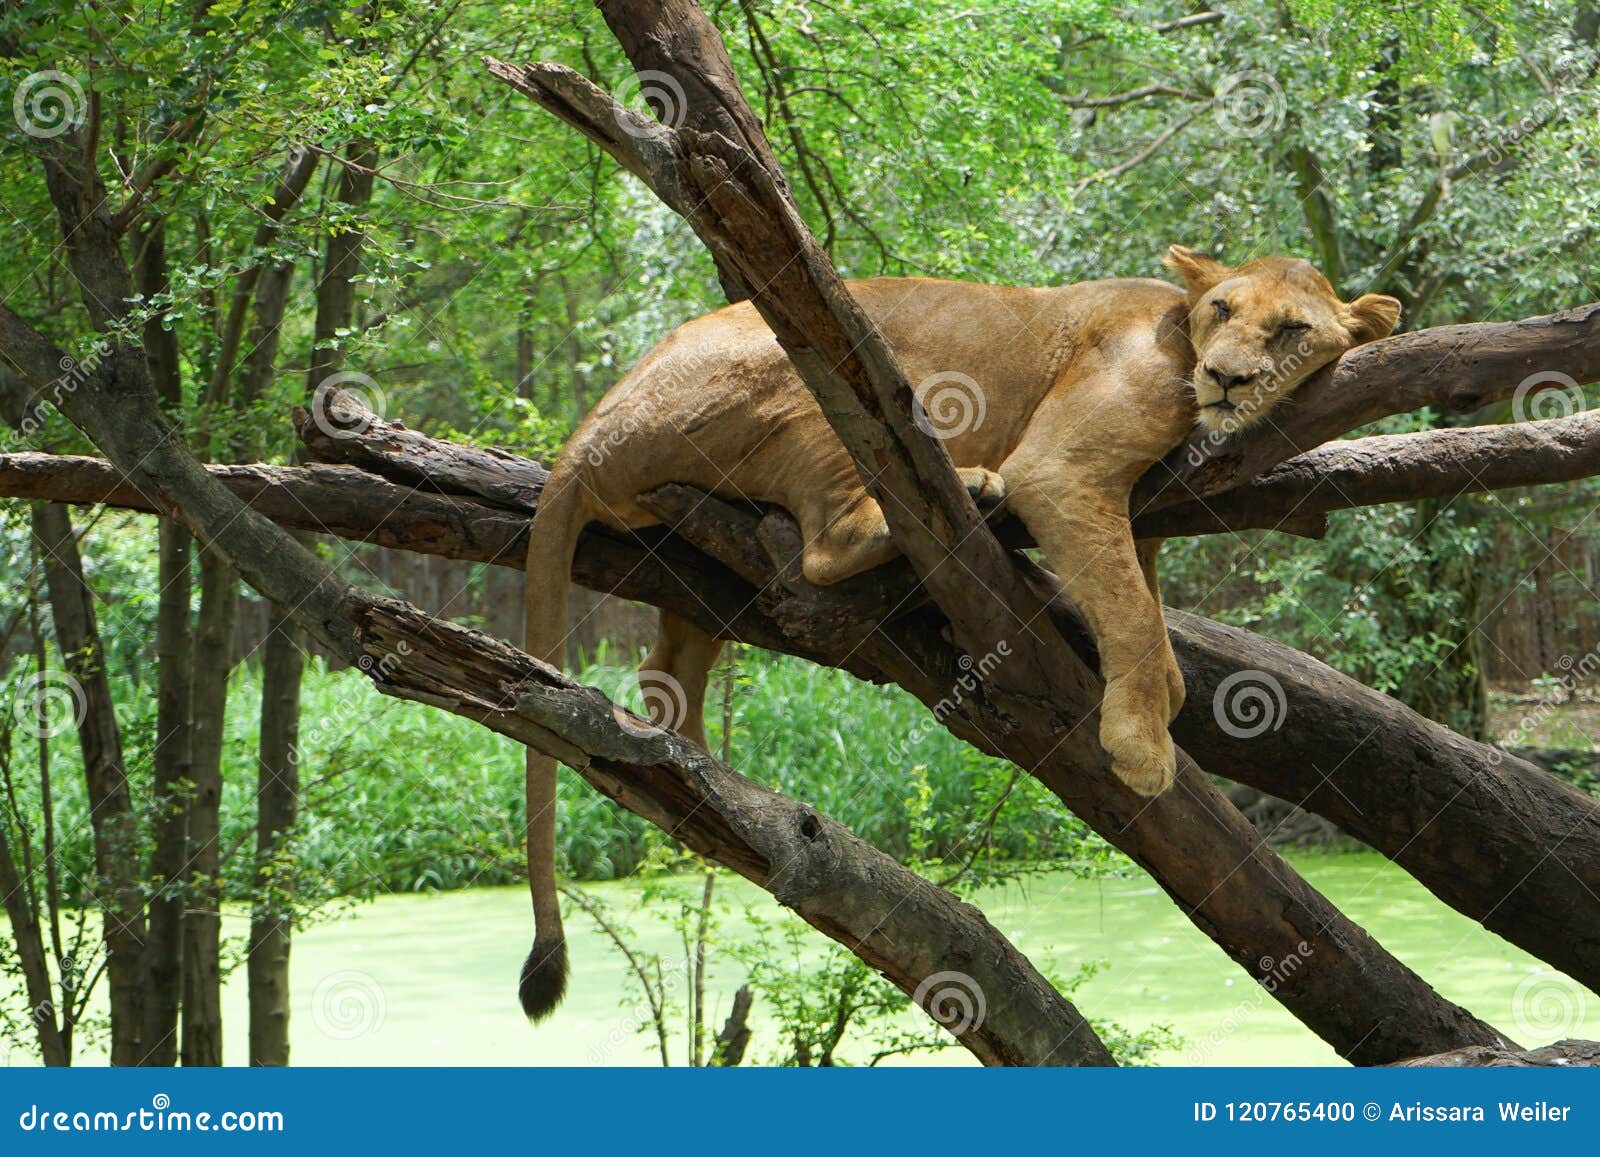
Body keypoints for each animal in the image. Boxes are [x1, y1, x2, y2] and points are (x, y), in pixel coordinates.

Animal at [516, 245, 1400, 1019]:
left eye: (1291, 331)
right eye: (1221, 309)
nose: (1225, 378)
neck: (1174, 324)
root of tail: (585, 432)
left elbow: (1140, 599)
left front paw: (1158, 696)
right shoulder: (1062, 468)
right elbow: (1131, 611)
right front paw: (1141, 746)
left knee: (669, 663)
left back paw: (705, 778)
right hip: (823, 376)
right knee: (822, 547)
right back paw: (967, 486)